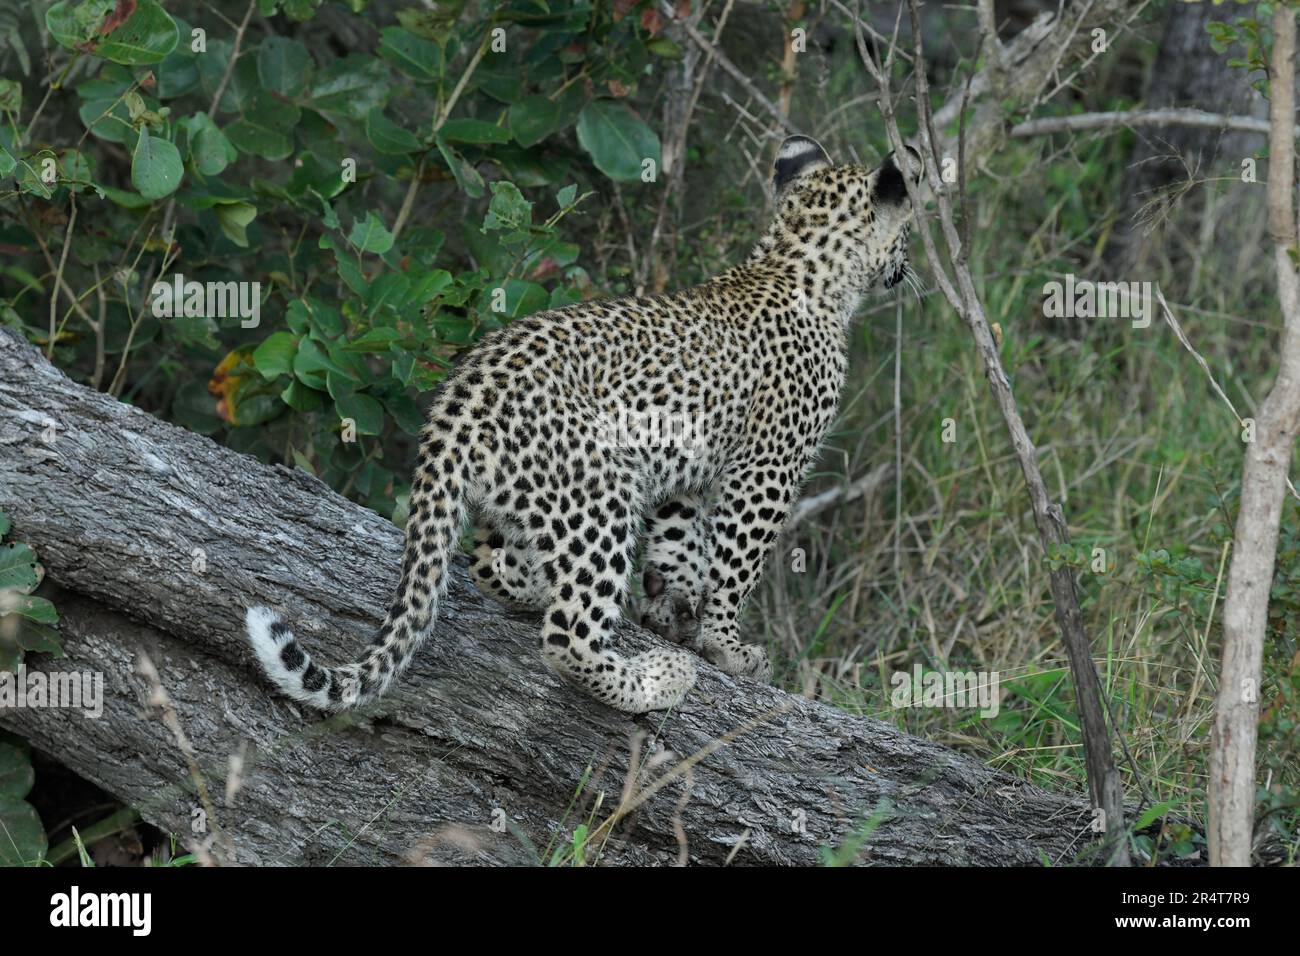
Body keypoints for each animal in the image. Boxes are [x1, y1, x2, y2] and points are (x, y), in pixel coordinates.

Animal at [246, 133, 920, 715]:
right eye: (909, 230)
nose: (907, 266)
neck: (796, 260)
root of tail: (457, 401)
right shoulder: (768, 468)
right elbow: (737, 561)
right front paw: (725, 646)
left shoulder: (685, 465)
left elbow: (681, 542)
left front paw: (675, 610)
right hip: (599, 488)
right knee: (567, 638)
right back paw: (654, 680)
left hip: (526, 496)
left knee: (488, 566)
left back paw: (550, 591)